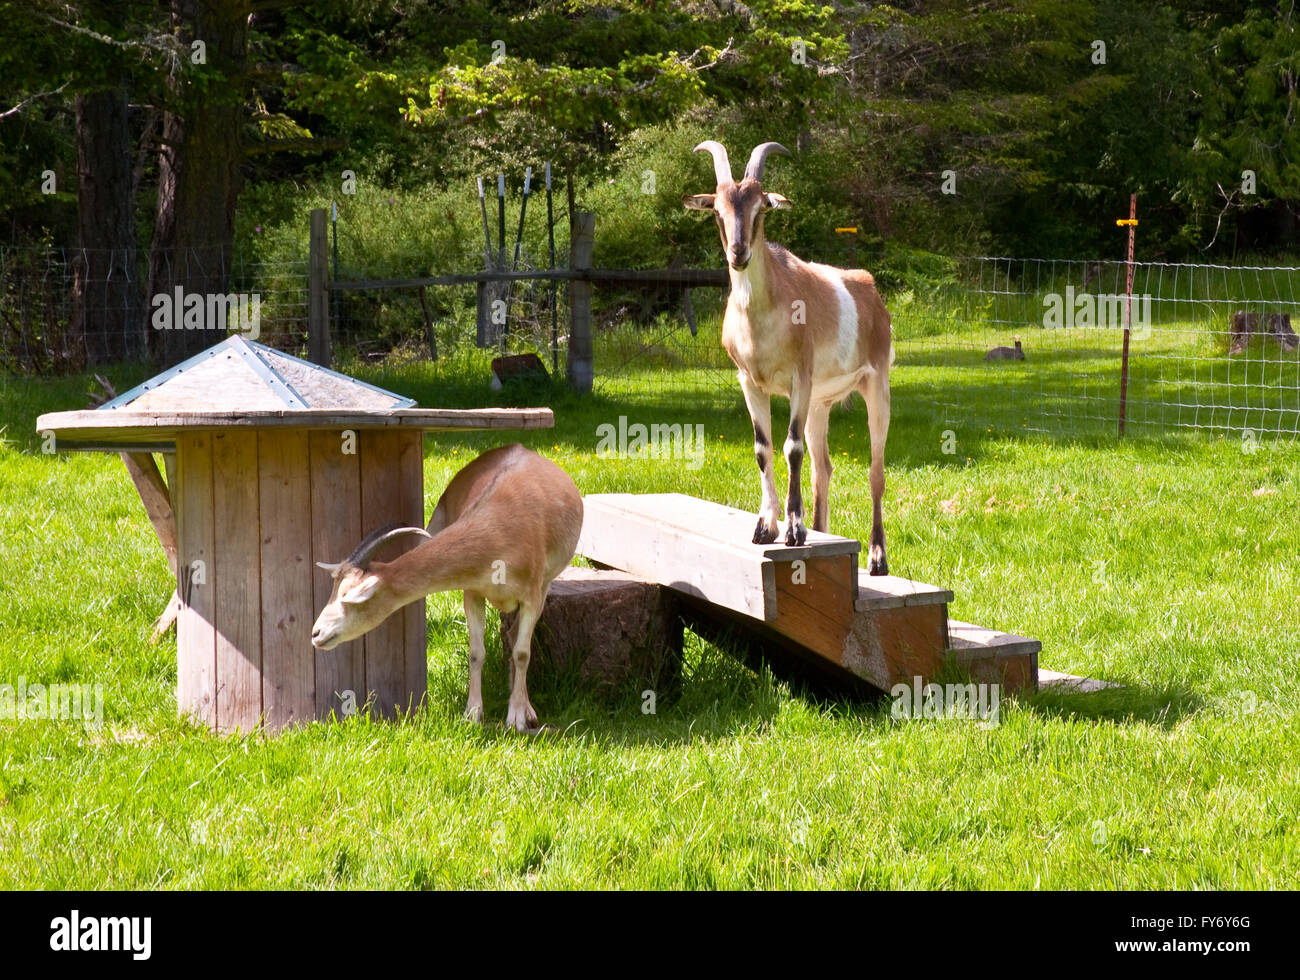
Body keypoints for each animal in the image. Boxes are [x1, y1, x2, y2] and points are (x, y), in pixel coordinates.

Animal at [310, 444, 584, 732]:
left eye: (348, 597)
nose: (316, 633)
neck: (499, 531)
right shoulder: (473, 592)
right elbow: (476, 653)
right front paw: (472, 714)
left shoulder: (532, 596)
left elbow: (522, 653)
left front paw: (518, 718)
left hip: (544, 585)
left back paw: (526, 708)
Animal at [684, 140, 894, 573]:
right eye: (717, 211)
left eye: (761, 208)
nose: (739, 253)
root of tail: (871, 291)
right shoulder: (749, 381)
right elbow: (763, 448)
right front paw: (766, 527)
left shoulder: (801, 377)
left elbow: (790, 447)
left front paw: (794, 530)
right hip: (820, 404)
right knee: (823, 468)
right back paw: (823, 531)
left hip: (876, 385)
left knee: (875, 471)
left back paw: (877, 557)